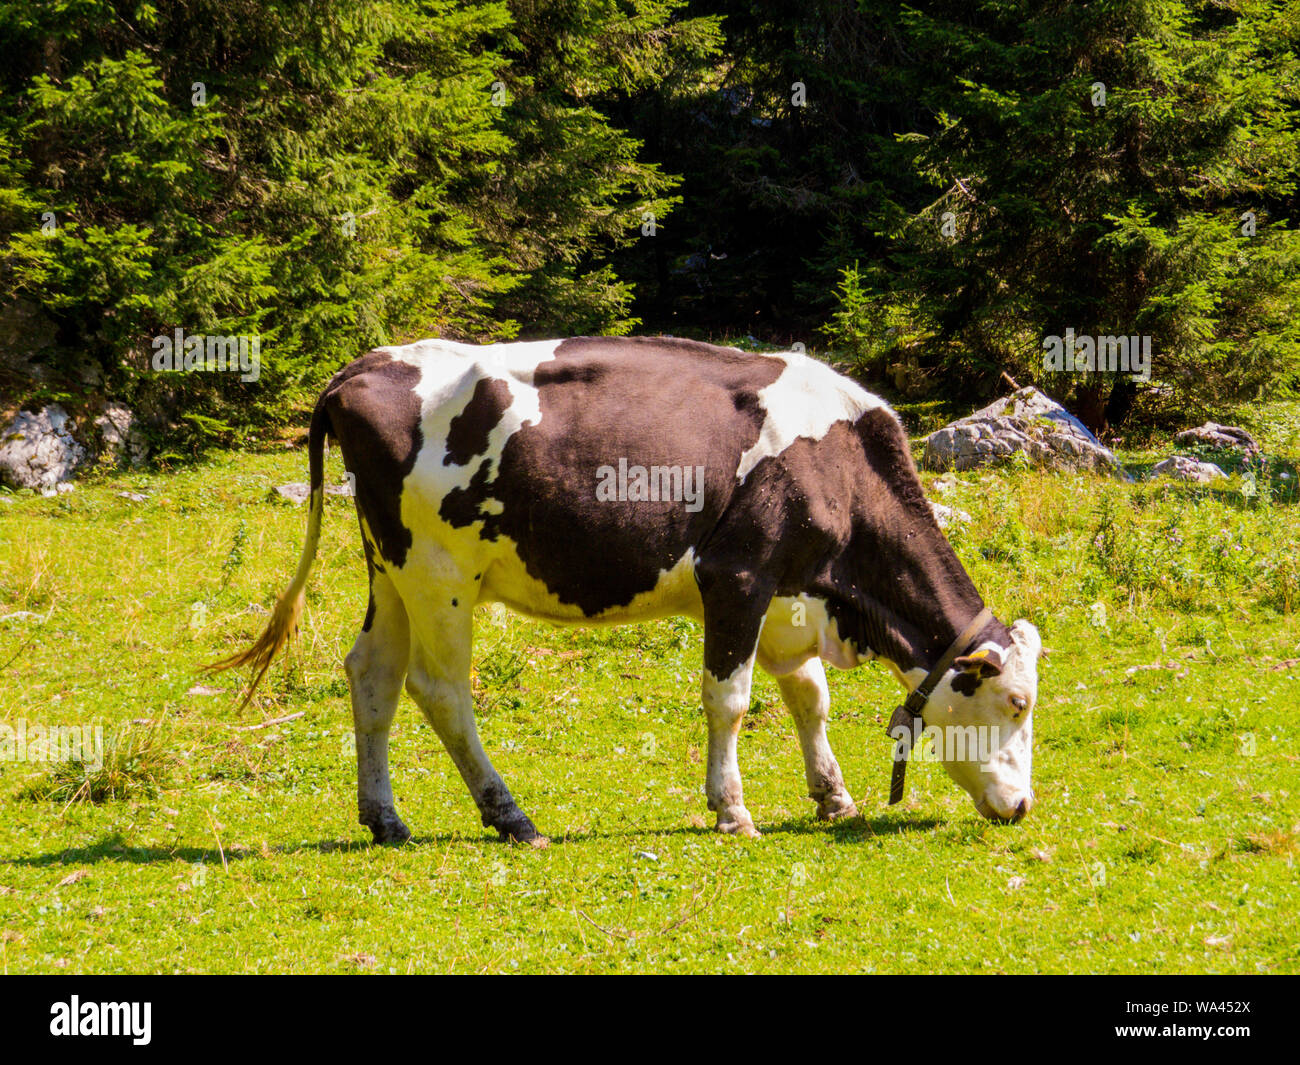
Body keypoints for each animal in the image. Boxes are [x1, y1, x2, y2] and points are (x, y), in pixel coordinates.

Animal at [210, 336, 1042, 845]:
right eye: (1015, 703)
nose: (1024, 806)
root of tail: (364, 367)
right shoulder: (737, 574)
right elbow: (730, 700)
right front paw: (732, 808)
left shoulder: (790, 593)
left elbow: (810, 698)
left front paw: (832, 794)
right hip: (439, 572)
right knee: (439, 688)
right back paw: (510, 814)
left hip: (389, 567)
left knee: (372, 674)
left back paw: (384, 816)